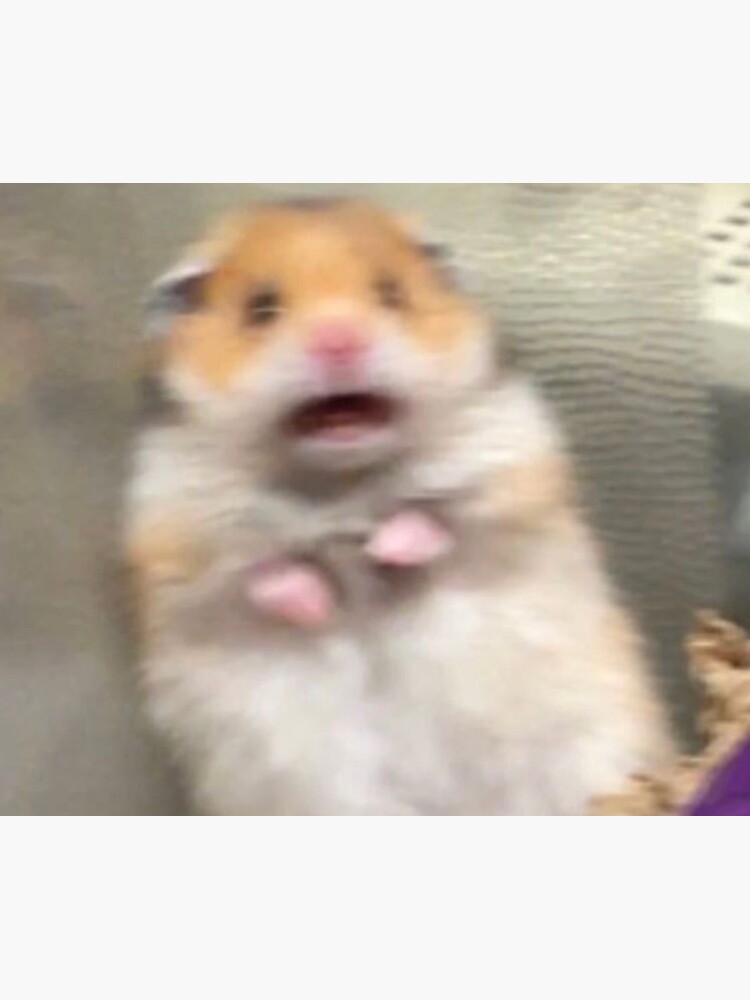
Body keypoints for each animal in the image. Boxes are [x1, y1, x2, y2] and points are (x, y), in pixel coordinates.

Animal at [125, 199, 674, 815]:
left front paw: (383, 549)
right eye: (260, 308)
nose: (340, 342)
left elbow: (436, 519)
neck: (342, 482)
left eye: (391, 294)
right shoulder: (177, 545)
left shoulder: (514, 478)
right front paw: (320, 606)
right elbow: (264, 574)